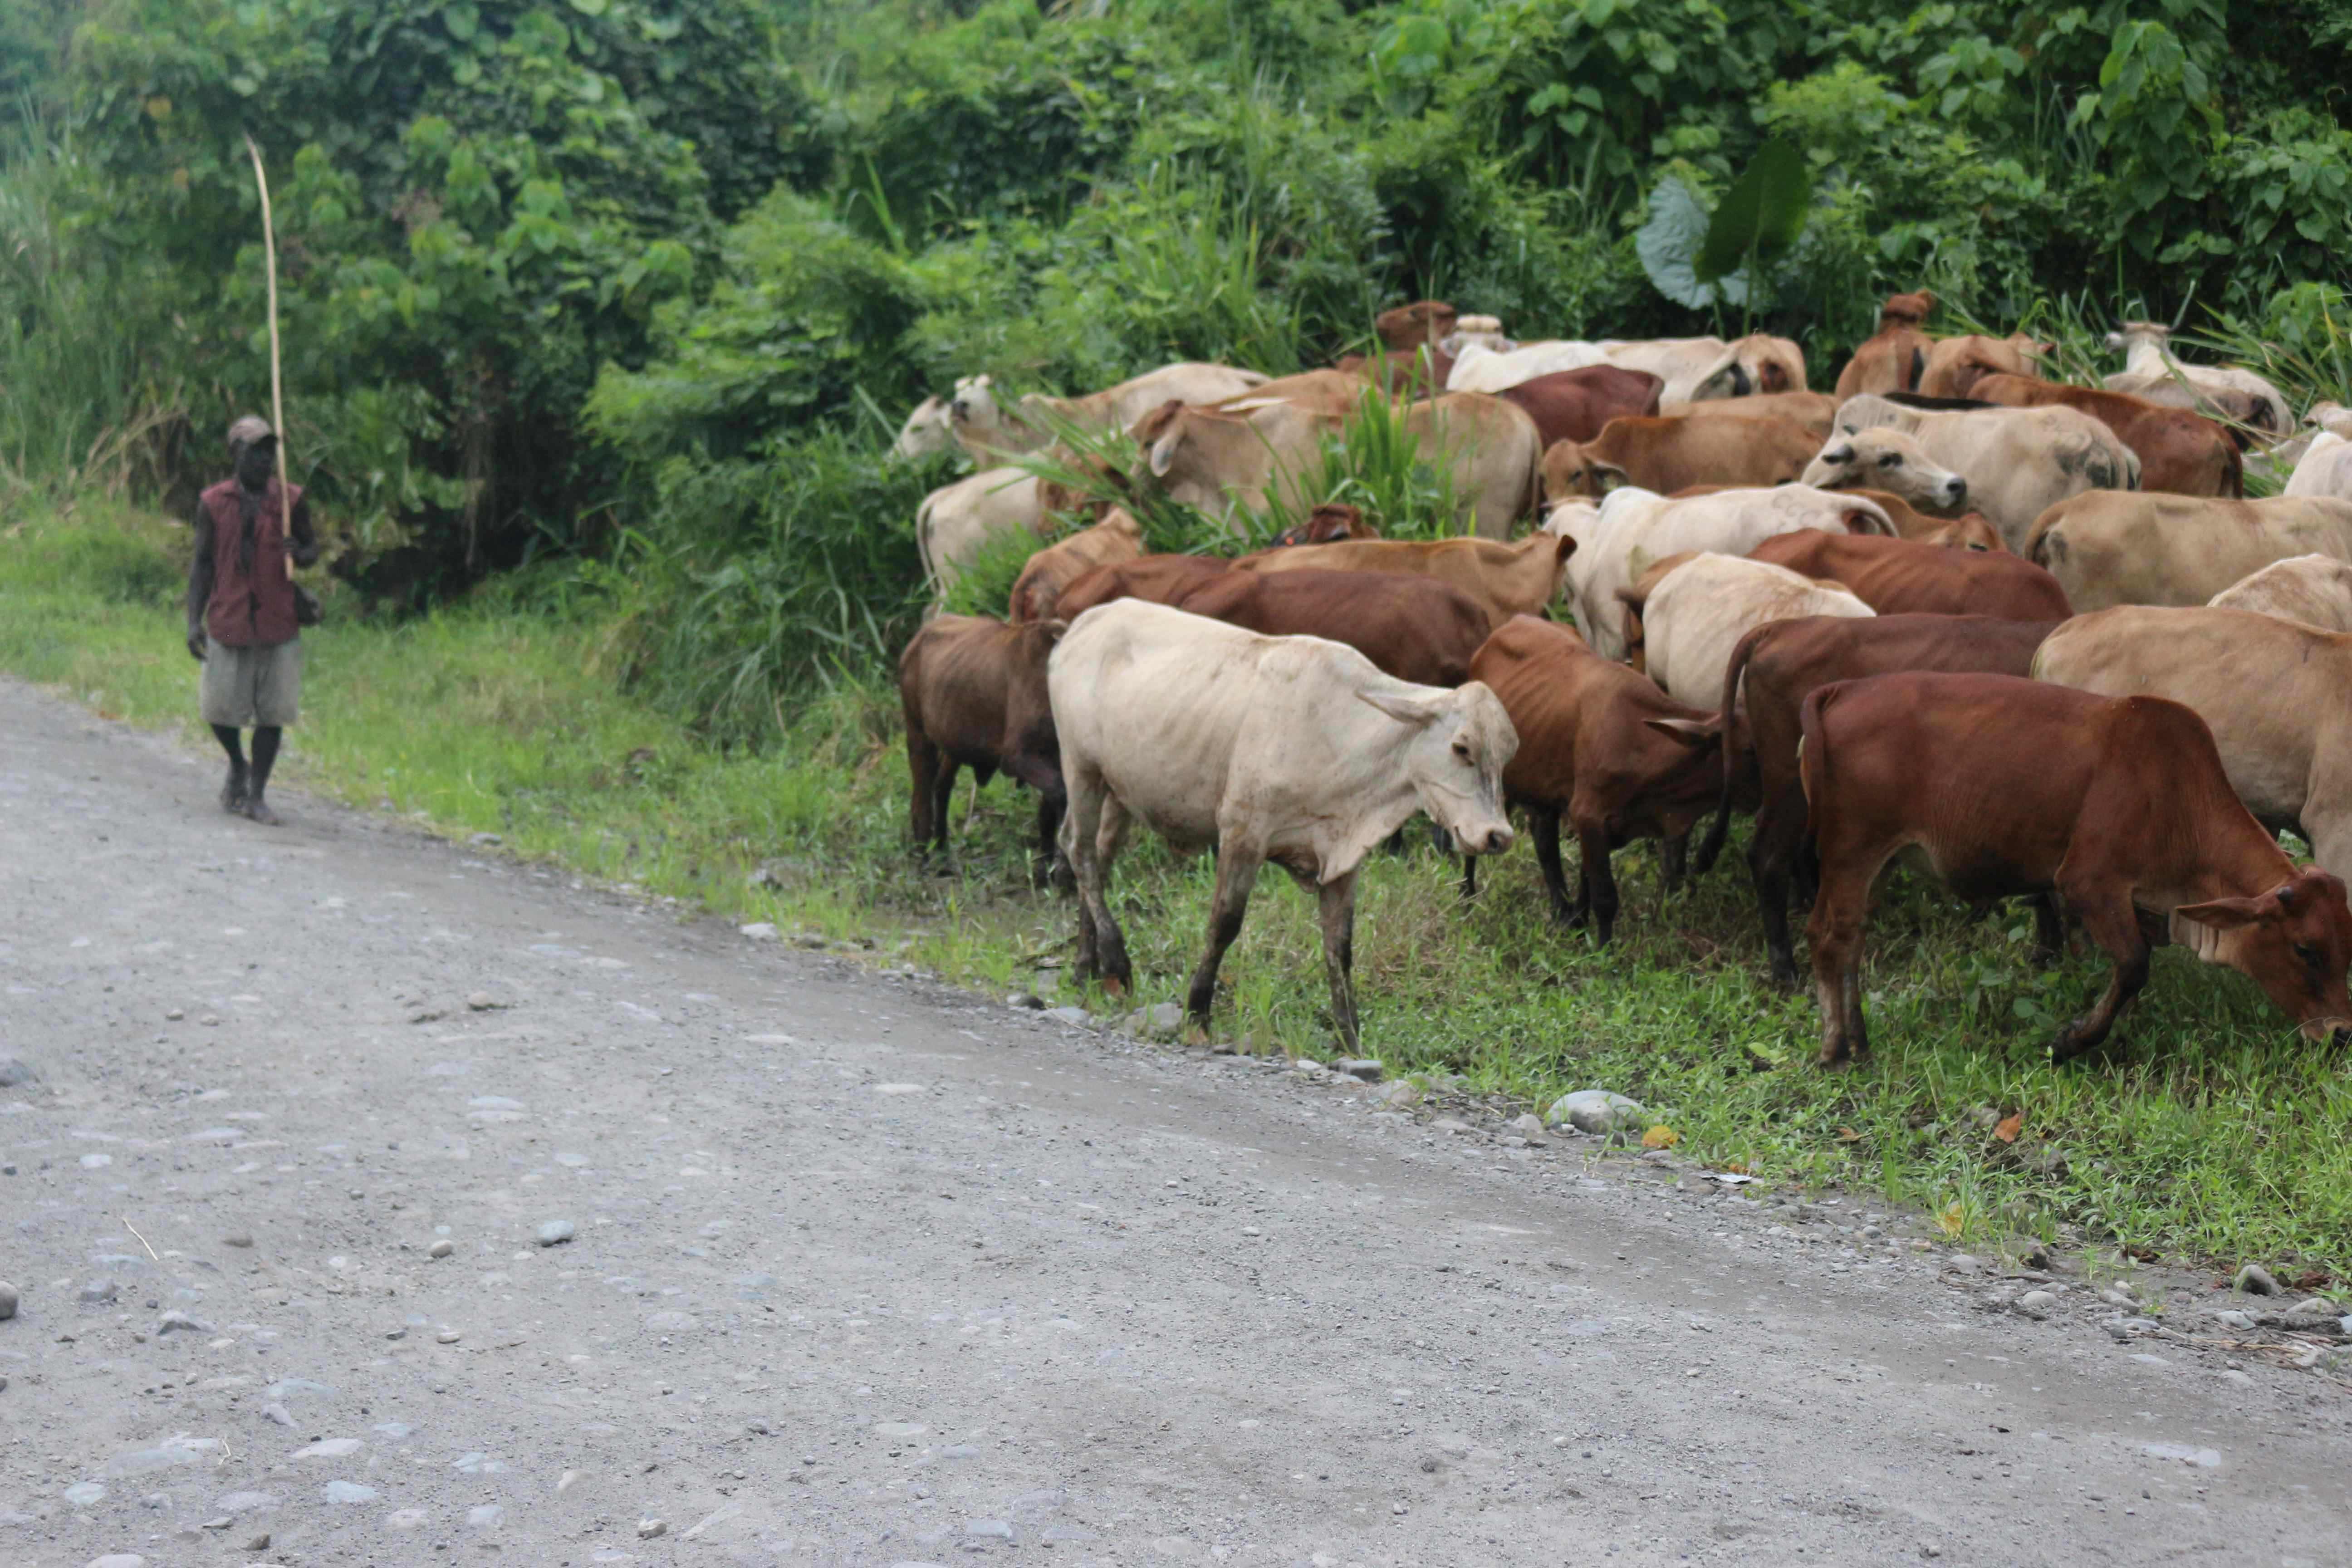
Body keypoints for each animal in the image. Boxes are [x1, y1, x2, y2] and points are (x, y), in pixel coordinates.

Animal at [898, 615, 1066, 888]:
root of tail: (918, 638)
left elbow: (1049, 812)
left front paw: (1047, 870)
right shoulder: (1018, 758)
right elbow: (1060, 798)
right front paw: (1062, 871)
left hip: (953, 744)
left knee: (942, 788)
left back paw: (943, 851)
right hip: (918, 735)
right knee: (921, 801)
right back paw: (924, 861)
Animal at [1050, 599, 1518, 1050]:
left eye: (1507, 756)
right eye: (1461, 747)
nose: (1498, 836)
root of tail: (1089, 620)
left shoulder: (1342, 860)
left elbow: (1340, 947)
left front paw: (1351, 1038)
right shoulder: (1243, 833)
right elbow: (1224, 925)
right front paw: (1198, 1013)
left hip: (1118, 791)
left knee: (1099, 859)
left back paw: (1085, 967)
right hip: (1081, 768)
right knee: (1078, 849)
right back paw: (1114, 961)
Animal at [1459, 615, 1725, 943]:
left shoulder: (1598, 823)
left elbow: (1587, 877)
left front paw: (1577, 920)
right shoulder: (1589, 814)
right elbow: (1605, 896)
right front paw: (1602, 947)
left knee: (1545, 842)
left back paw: (1560, 908)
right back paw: (1467, 896)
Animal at [1799, 672, 2352, 1065]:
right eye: (2305, 949)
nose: (2342, 1033)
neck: (2177, 797)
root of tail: (1840, 690)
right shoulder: (2089, 883)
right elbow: (2133, 966)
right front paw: (2072, 1041)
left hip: (1881, 862)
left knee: (1854, 940)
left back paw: (1860, 1041)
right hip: (1852, 850)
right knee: (1829, 937)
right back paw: (1836, 1051)